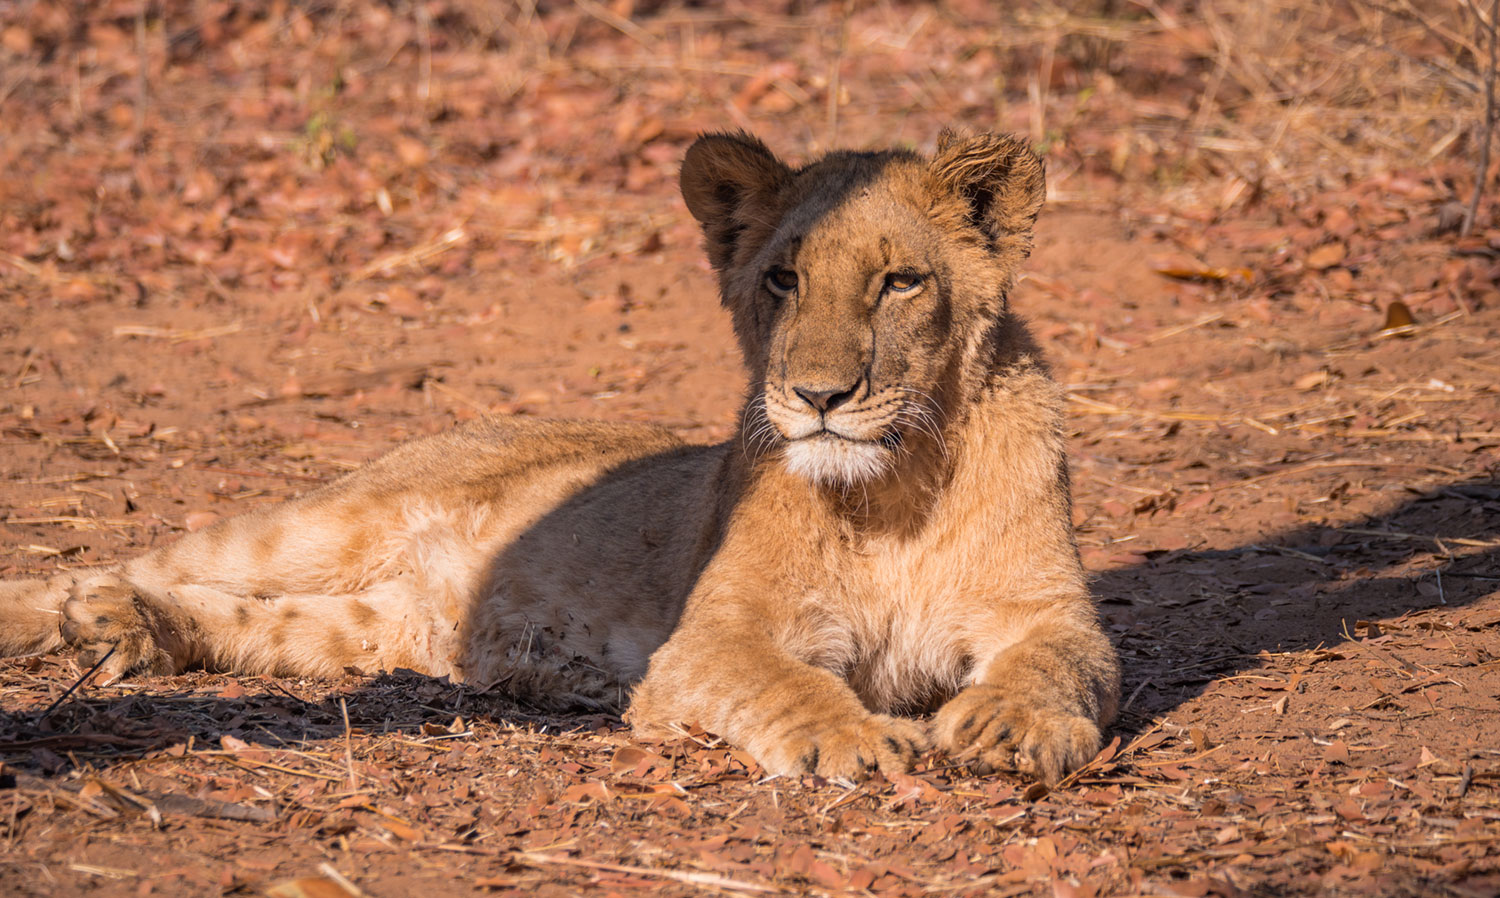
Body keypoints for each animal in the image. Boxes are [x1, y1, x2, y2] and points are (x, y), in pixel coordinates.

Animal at [0, 131, 1120, 784]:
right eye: (783, 279)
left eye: (899, 282)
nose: (818, 398)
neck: (890, 492)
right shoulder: (708, 640)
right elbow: (782, 683)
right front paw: (854, 739)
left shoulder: (1050, 614)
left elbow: (1063, 665)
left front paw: (1010, 726)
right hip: (328, 523)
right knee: (150, 560)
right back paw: (82, 609)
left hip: (367, 630)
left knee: (242, 620)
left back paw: (129, 628)